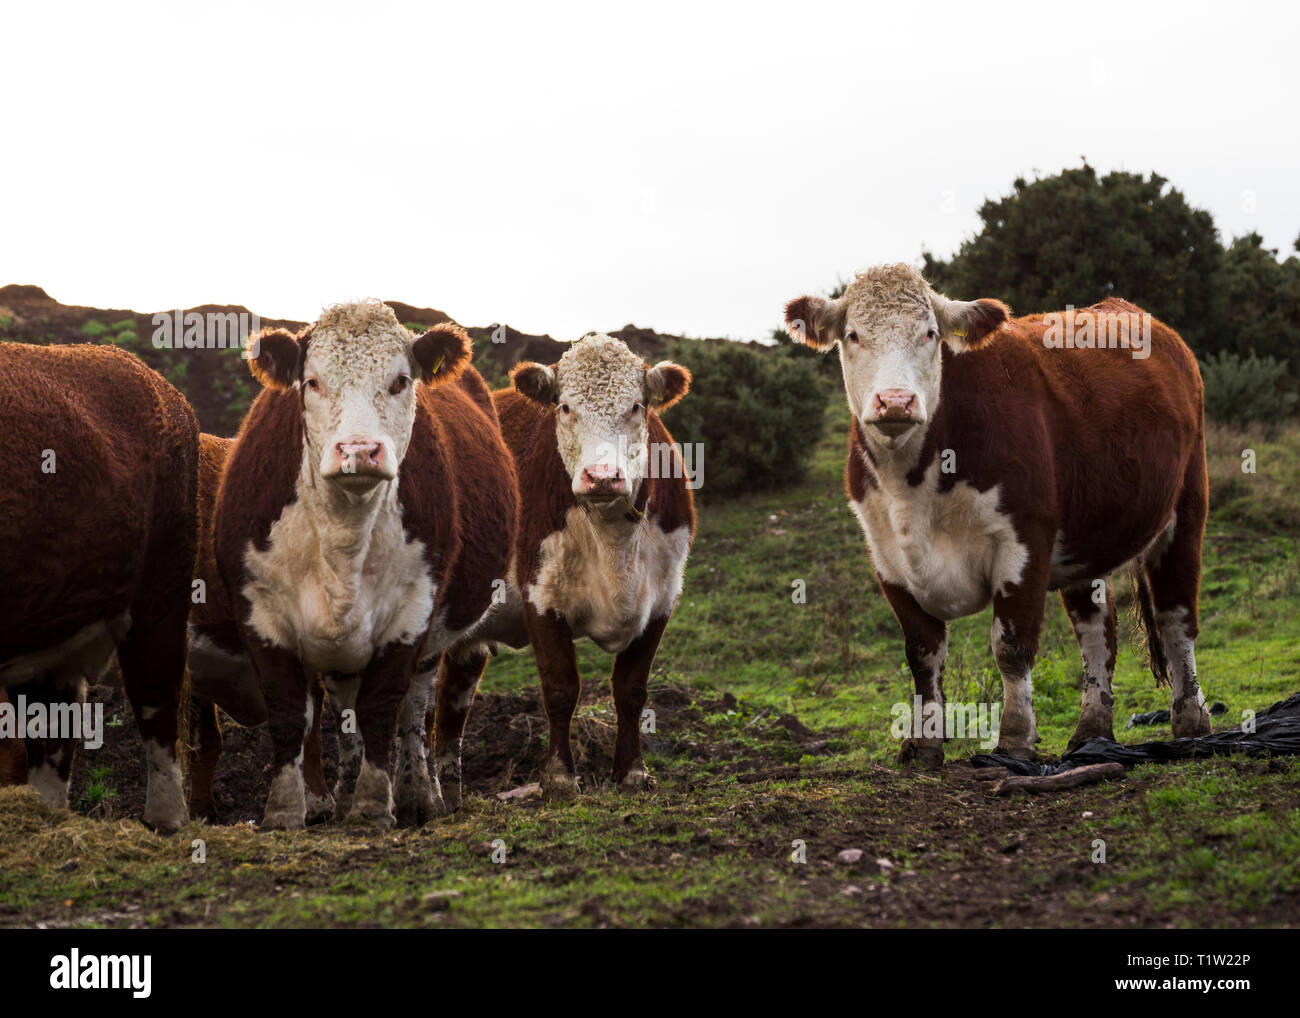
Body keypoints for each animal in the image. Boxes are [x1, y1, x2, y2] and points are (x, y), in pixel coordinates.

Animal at [204, 300, 518, 829]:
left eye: (400, 380)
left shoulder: (413, 613)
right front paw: (285, 811)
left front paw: (374, 805)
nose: (358, 451)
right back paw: (346, 792)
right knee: (345, 705)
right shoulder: (259, 612)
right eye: (312, 381)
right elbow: (290, 711)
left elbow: (382, 707)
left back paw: (417, 795)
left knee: (415, 709)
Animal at [465, 333, 695, 798]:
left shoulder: (662, 599)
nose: (602, 476)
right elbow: (560, 687)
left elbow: (631, 689)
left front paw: (632, 771)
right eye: (566, 407)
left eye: (636, 406)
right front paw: (558, 776)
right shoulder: (540, 595)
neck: (613, 540)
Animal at [784, 264, 1212, 765]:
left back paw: (1191, 721)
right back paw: (1091, 730)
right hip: (1087, 541)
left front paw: (1014, 739)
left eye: (930, 333)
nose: (895, 401)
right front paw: (924, 742)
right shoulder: (886, 556)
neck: (913, 484)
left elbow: (1011, 646)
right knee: (1096, 631)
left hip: (1186, 507)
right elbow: (922, 652)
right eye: (853, 334)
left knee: (1176, 618)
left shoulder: (1024, 539)